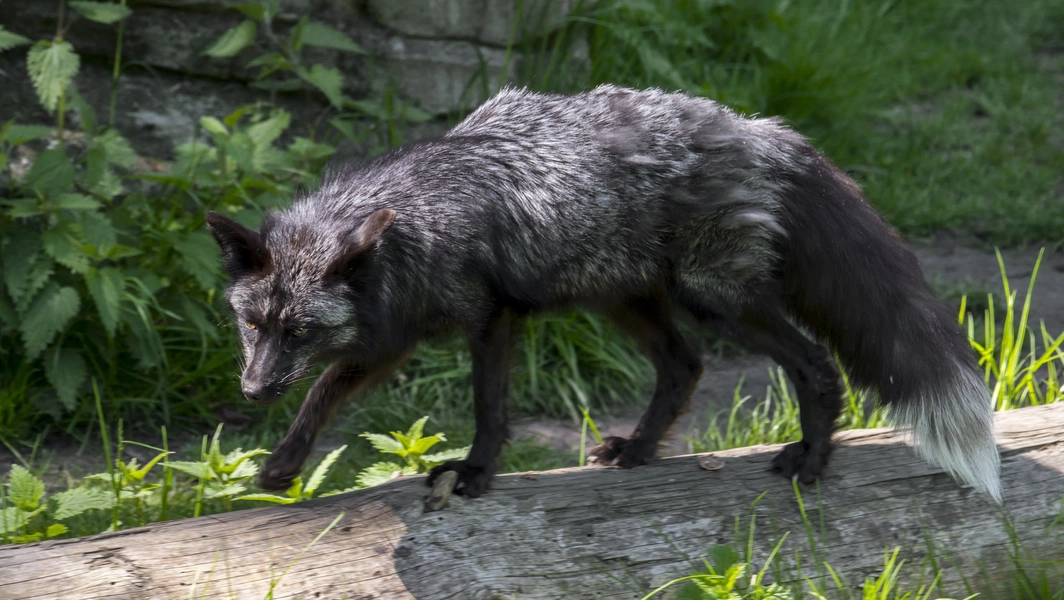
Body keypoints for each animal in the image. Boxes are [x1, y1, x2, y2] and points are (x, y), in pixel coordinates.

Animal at [205, 84, 1002, 503]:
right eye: (253, 324)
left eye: (300, 331)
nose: (250, 391)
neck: (418, 223)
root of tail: (760, 129)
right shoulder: (388, 338)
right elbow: (321, 397)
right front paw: (281, 469)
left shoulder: (490, 318)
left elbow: (489, 409)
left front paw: (476, 472)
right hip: (624, 300)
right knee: (685, 367)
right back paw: (639, 451)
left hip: (713, 298)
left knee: (815, 365)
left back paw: (811, 460)